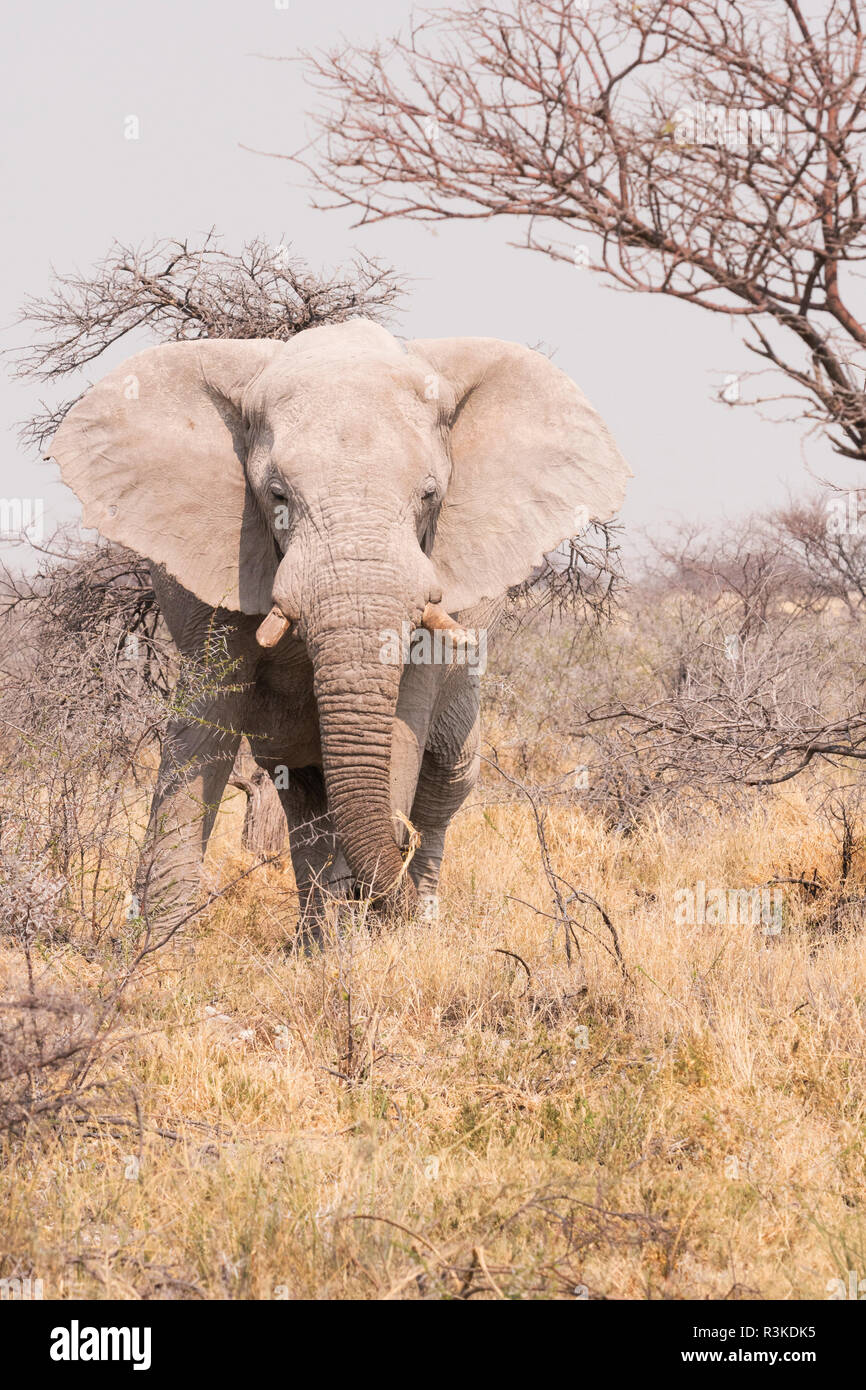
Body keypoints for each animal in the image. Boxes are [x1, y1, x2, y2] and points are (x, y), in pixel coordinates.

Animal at [47, 319, 630, 933]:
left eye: (430, 495)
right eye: (276, 494)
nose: (395, 844)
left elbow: (404, 721)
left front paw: (376, 939)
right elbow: (202, 728)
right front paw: (156, 946)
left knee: (447, 776)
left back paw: (412, 918)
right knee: (300, 790)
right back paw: (322, 931)